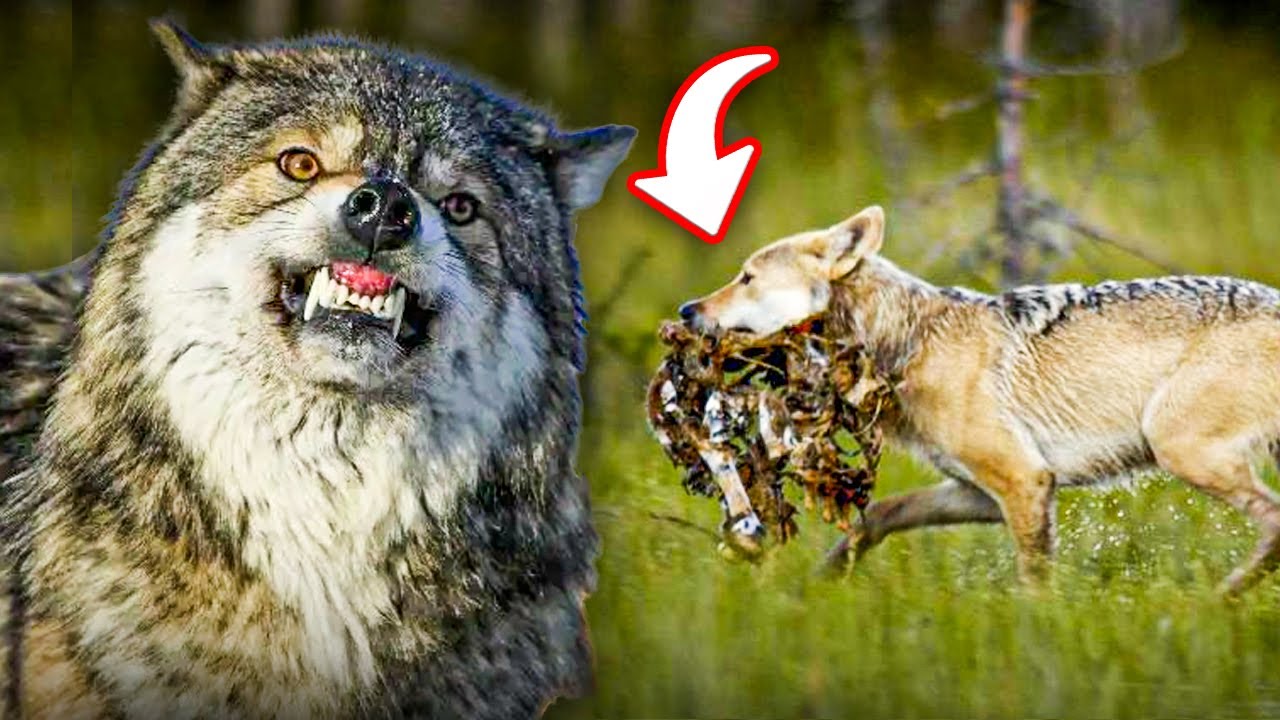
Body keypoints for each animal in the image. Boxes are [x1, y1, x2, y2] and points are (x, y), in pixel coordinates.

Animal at [679, 205, 1280, 595]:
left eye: (746, 277)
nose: (686, 309)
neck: (906, 344)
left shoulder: (1024, 481)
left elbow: (1033, 581)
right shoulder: (982, 493)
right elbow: (882, 514)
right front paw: (823, 579)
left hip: (1176, 447)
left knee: (1274, 523)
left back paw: (1221, 598)